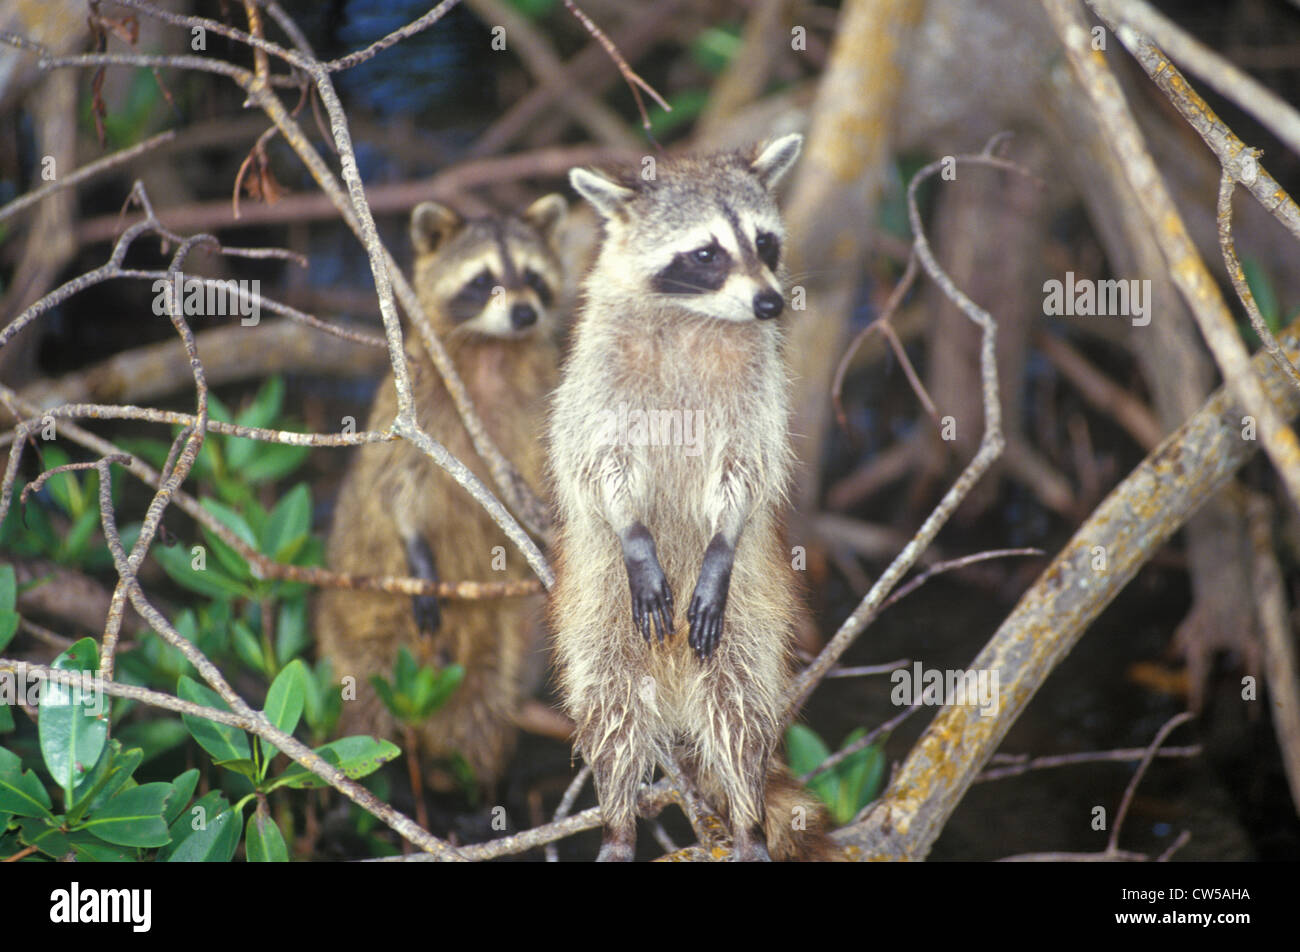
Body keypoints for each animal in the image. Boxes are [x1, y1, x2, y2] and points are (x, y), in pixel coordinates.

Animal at [317, 193, 566, 791]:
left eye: (532, 277)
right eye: (483, 280)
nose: (524, 314)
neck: (493, 353)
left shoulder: (539, 402)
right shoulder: (413, 403)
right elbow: (397, 486)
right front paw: (417, 550)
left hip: (498, 641)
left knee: (480, 714)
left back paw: (469, 782)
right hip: (358, 621)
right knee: (362, 707)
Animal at [547, 135, 838, 860]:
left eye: (764, 242)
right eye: (706, 254)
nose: (770, 304)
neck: (694, 315)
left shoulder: (759, 389)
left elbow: (748, 466)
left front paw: (722, 539)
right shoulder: (596, 375)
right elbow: (597, 459)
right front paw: (634, 532)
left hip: (748, 617)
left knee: (737, 707)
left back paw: (747, 817)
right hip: (600, 612)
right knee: (612, 703)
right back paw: (619, 820)